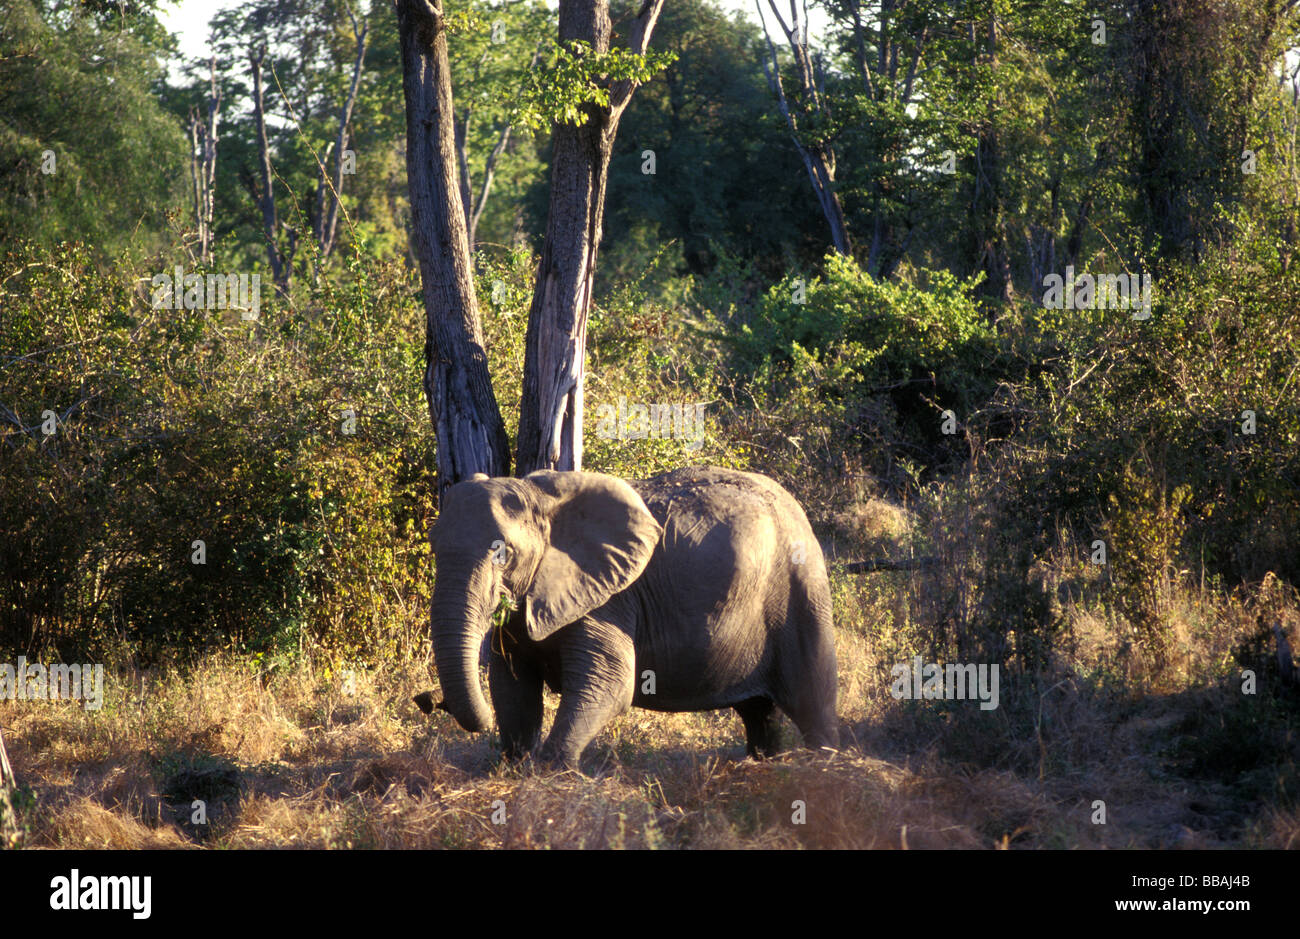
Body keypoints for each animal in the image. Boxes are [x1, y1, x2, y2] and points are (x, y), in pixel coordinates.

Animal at [416, 465, 839, 769]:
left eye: (503, 553)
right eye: (434, 546)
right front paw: (516, 769)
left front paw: (551, 773)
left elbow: (610, 682)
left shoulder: (609, 600)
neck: (543, 499)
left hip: (801, 590)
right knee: (759, 713)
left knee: (812, 703)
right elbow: (512, 686)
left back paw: (825, 774)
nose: (429, 701)